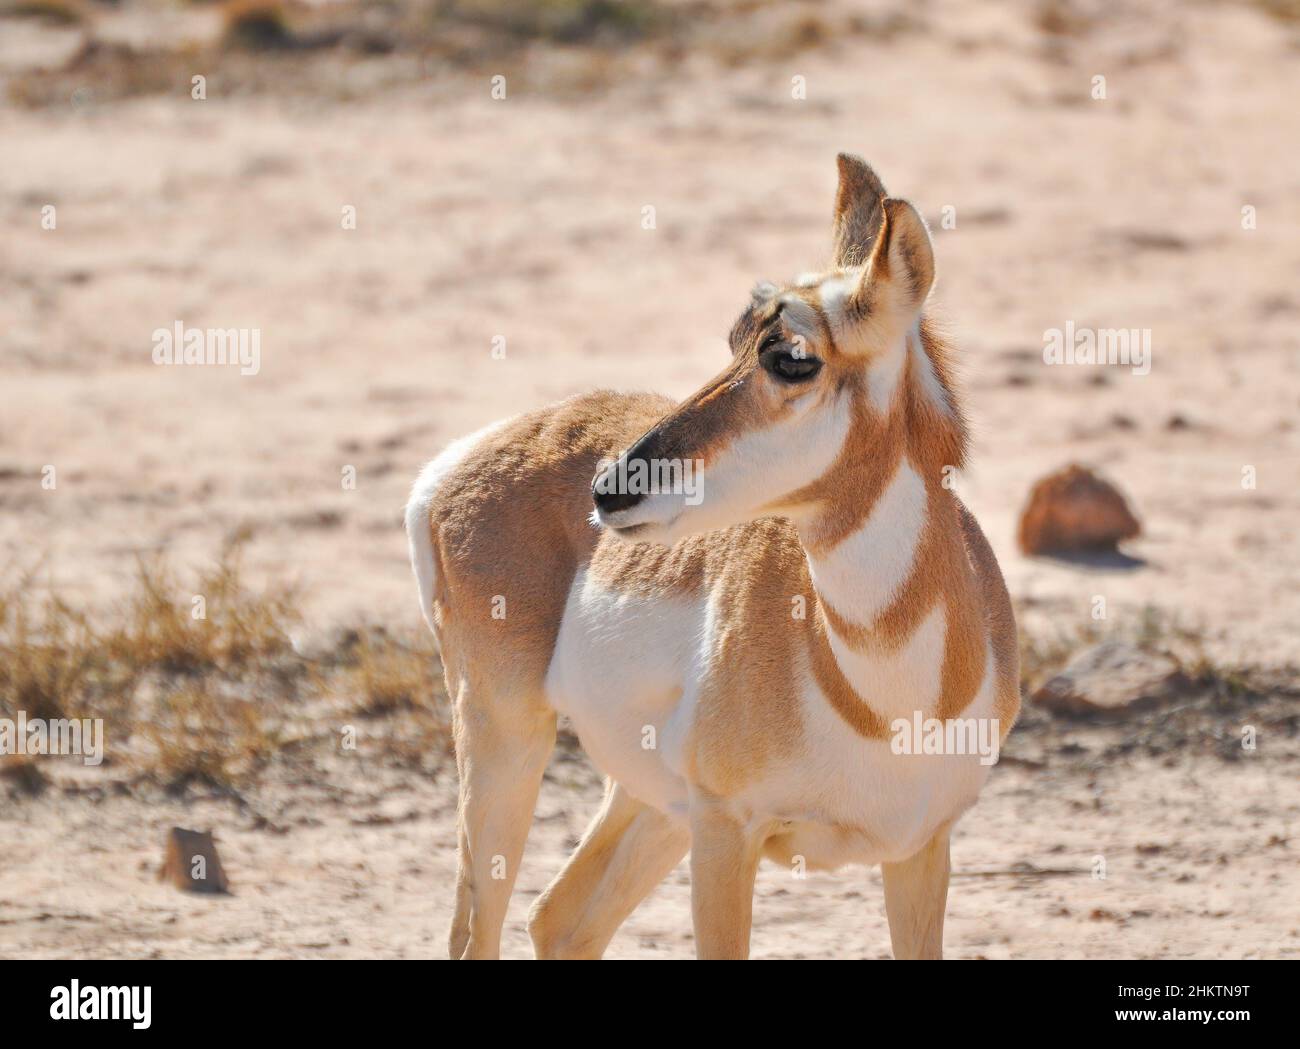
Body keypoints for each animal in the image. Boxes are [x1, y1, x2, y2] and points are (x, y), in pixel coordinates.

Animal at [405, 155, 1020, 960]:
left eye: (791, 356)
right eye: (735, 336)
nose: (610, 487)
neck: (885, 702)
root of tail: (460, 459)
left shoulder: (919, 850)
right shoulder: (727, 833)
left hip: (651, 804)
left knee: (559, 916)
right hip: (508, 744)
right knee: (482, 924)